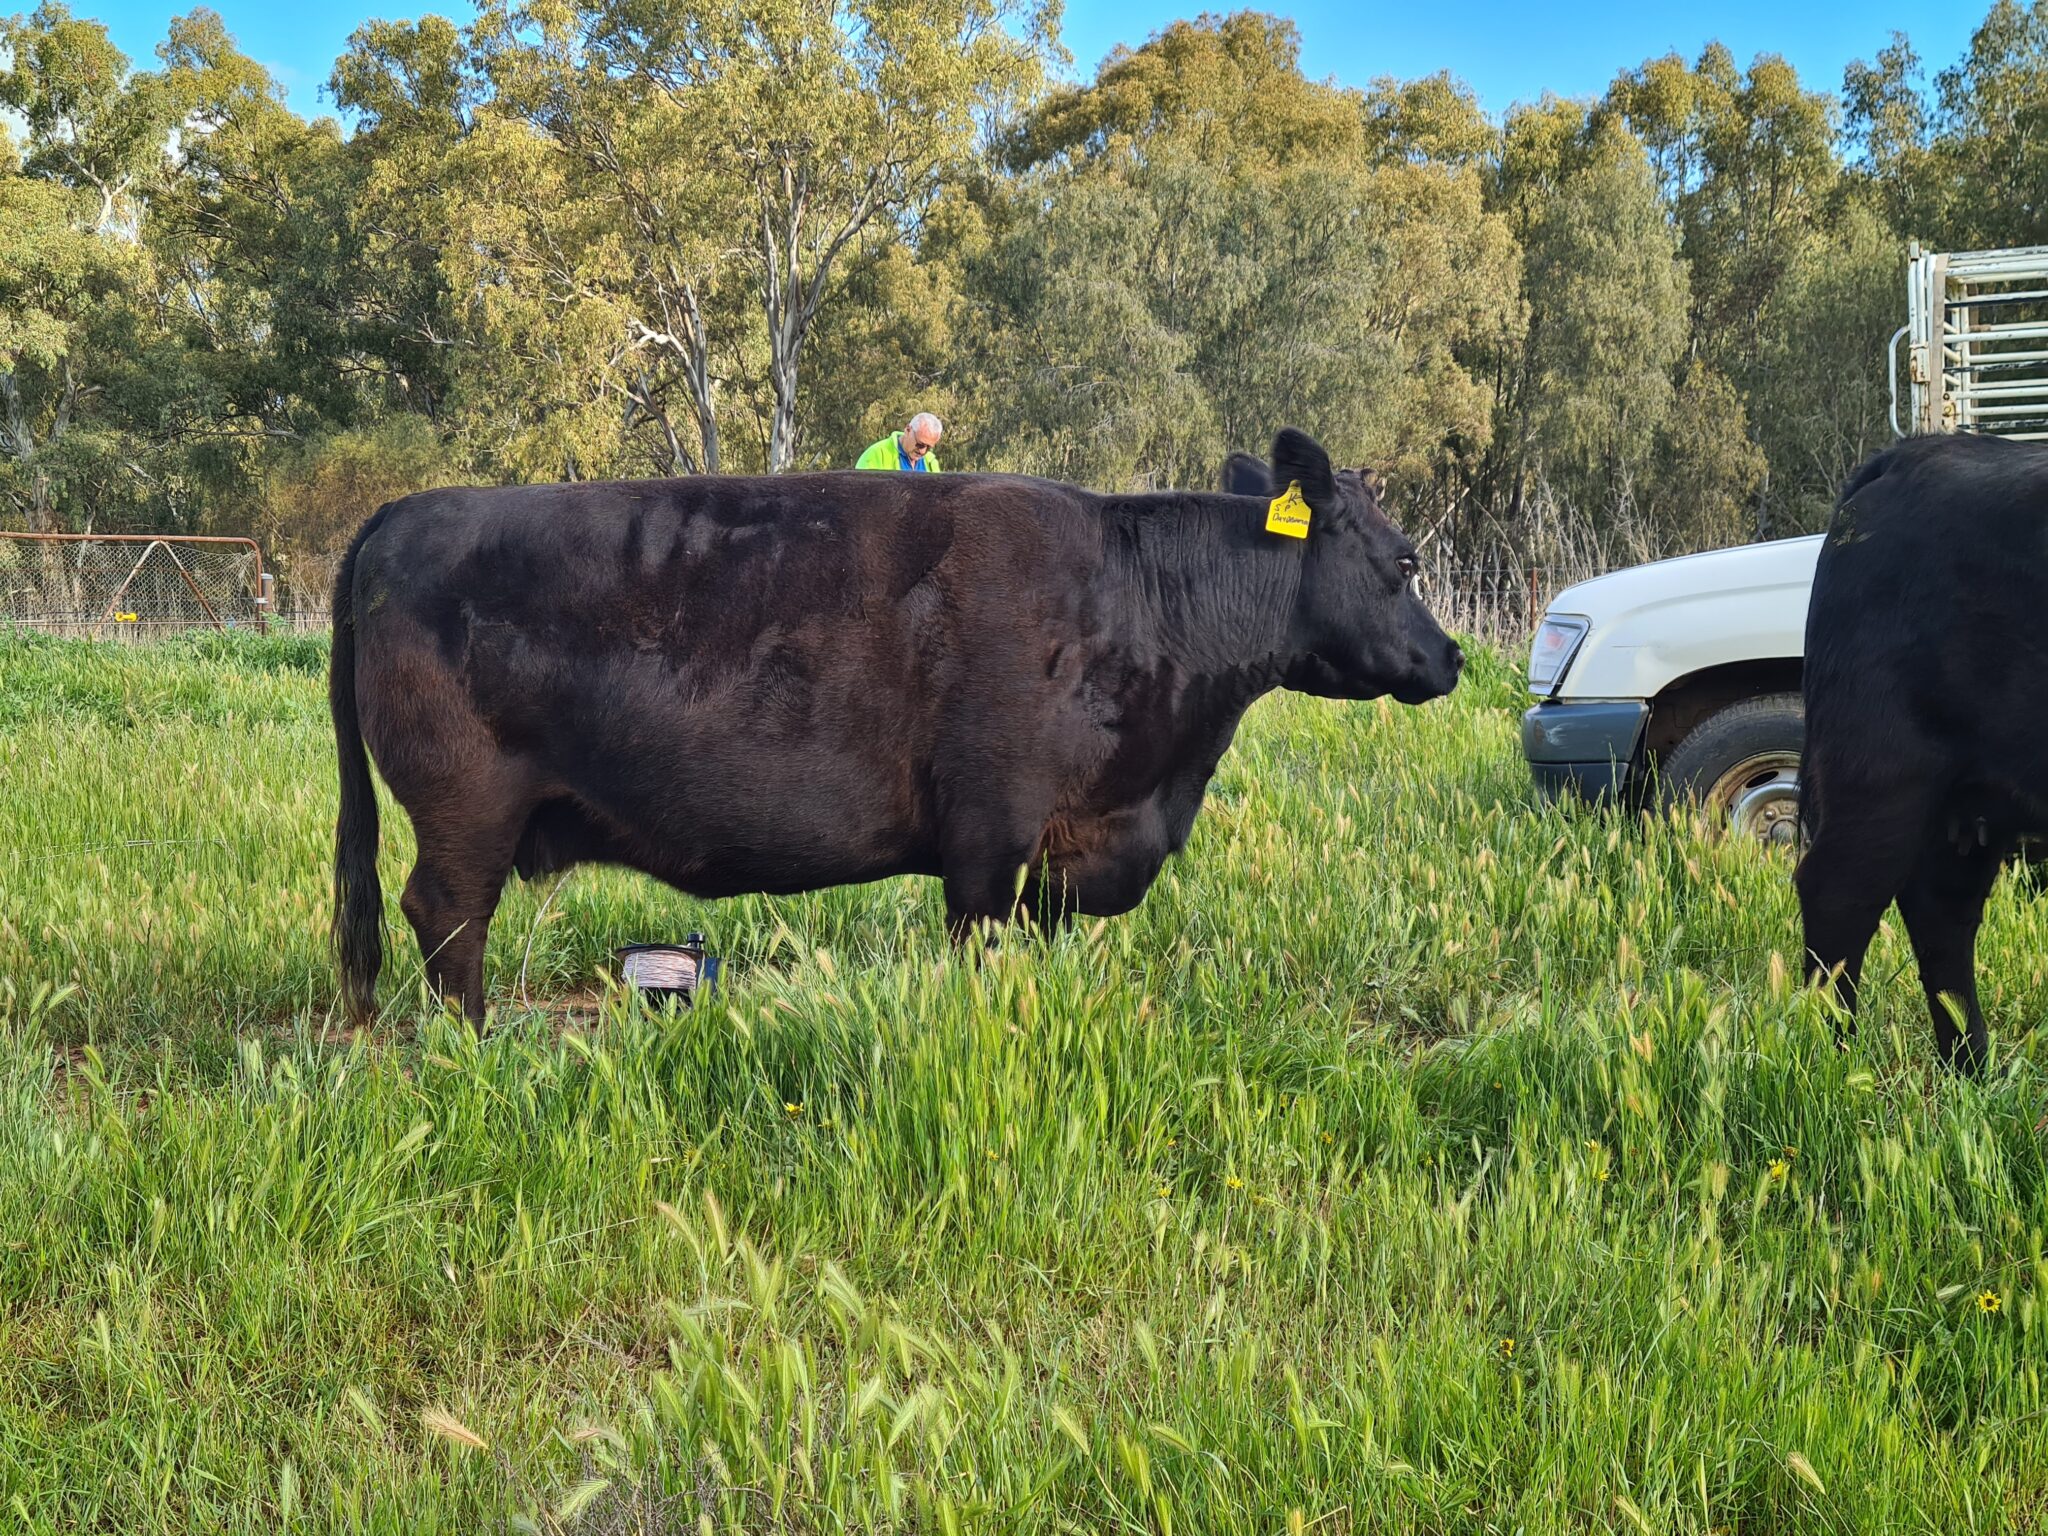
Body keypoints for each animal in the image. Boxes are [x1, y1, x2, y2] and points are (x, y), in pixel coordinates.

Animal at [328, 427, 1464, 1024]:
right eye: (1404, 559)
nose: (1451, 657)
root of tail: (405, 510)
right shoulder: (988, 837)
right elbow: (978, 949)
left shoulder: (1056, 853)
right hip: (466, 806)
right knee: (447, 916)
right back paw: (475, 1043)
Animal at [1796, 430, 2048, 1072]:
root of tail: (1912, 453)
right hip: (1884, 764)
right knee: (1840, 896)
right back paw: (1827, 1064)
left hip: (1970, 797)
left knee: (1941, 911)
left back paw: (1972, 1068)